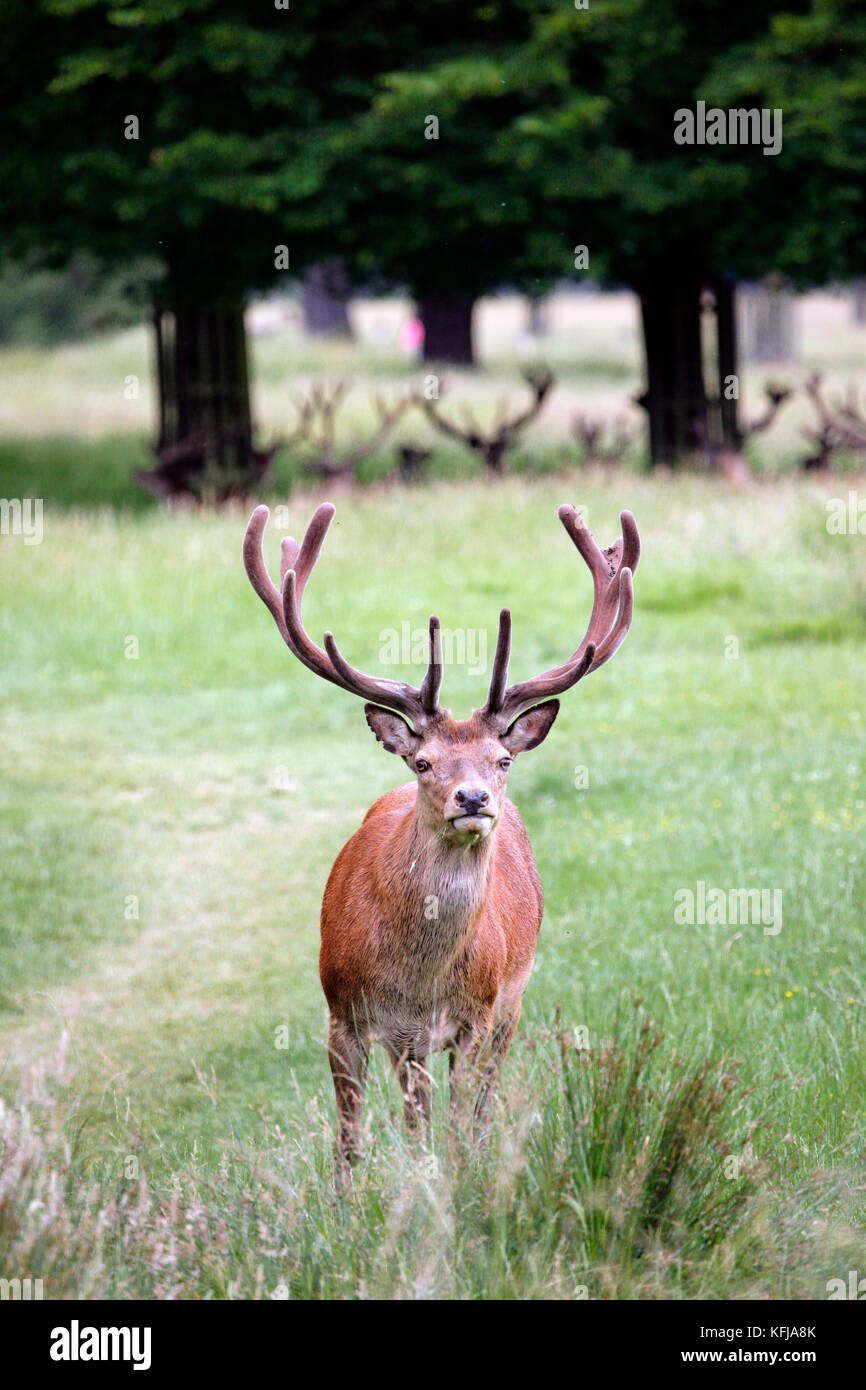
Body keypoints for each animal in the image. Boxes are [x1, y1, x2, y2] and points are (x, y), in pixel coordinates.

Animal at [242, 499, 640, 1177]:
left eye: (502, 759)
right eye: (424, 761)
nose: (473, 798)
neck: (416, 982)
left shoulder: (473, 1018)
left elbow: (450, 1129)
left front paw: (446, 1188)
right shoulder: (344, 1013)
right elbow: (353, 1140)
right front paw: (355, 1200)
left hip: (510, 1007)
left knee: (477, 1108)